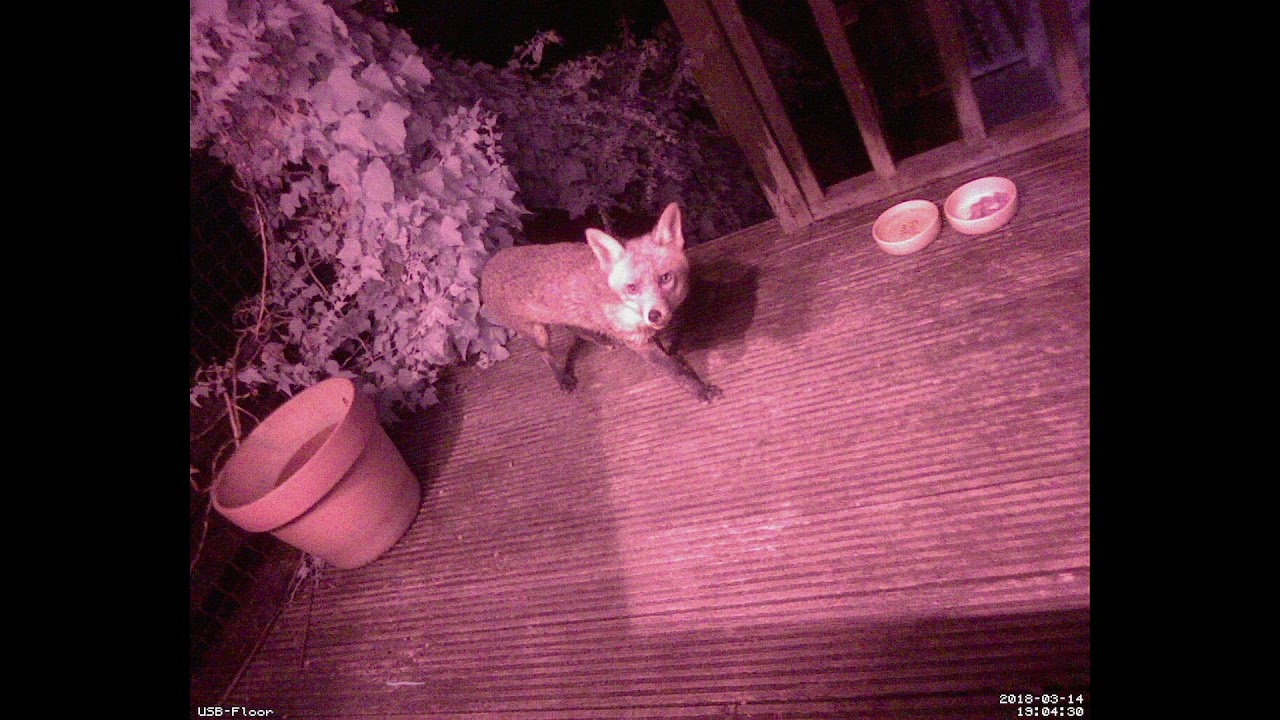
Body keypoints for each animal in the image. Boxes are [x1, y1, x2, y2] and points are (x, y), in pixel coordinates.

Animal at [480, 202, 722, 404]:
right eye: (632, 288)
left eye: (665, 278)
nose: (654, 315)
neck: (624, 307)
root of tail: (487, 267)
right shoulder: (638, 343)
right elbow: (675, 372)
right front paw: (700, 390)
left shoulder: (642, 333)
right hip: (539, 333)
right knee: (545, 355)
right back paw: (563, 379)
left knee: (573, 326)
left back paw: (601, 339)